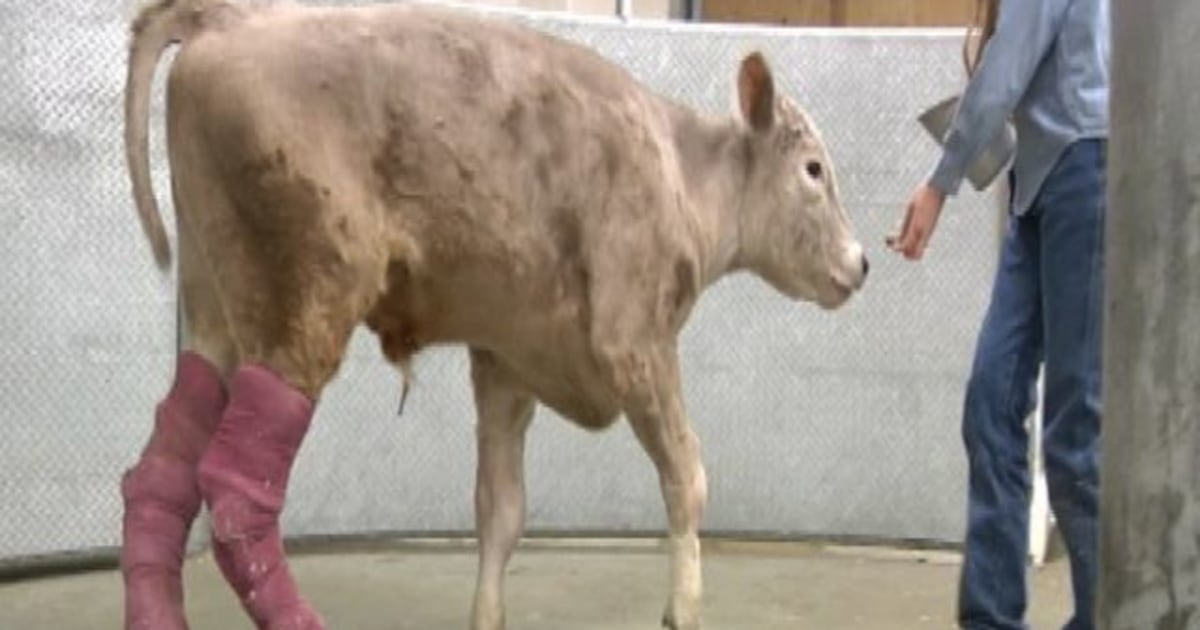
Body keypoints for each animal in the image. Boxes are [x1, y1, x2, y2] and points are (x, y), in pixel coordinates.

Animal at [118, 0, 869, 628]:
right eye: (813, 169)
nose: (861, 262)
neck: (681, 172)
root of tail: (232, 19)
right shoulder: (637, 344)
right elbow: (688, 478)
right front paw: (682, 610)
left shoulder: (508, 362)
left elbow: (501, 511)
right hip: (304, 297)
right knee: (236, 487)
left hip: (215, 308)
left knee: (161, 474)